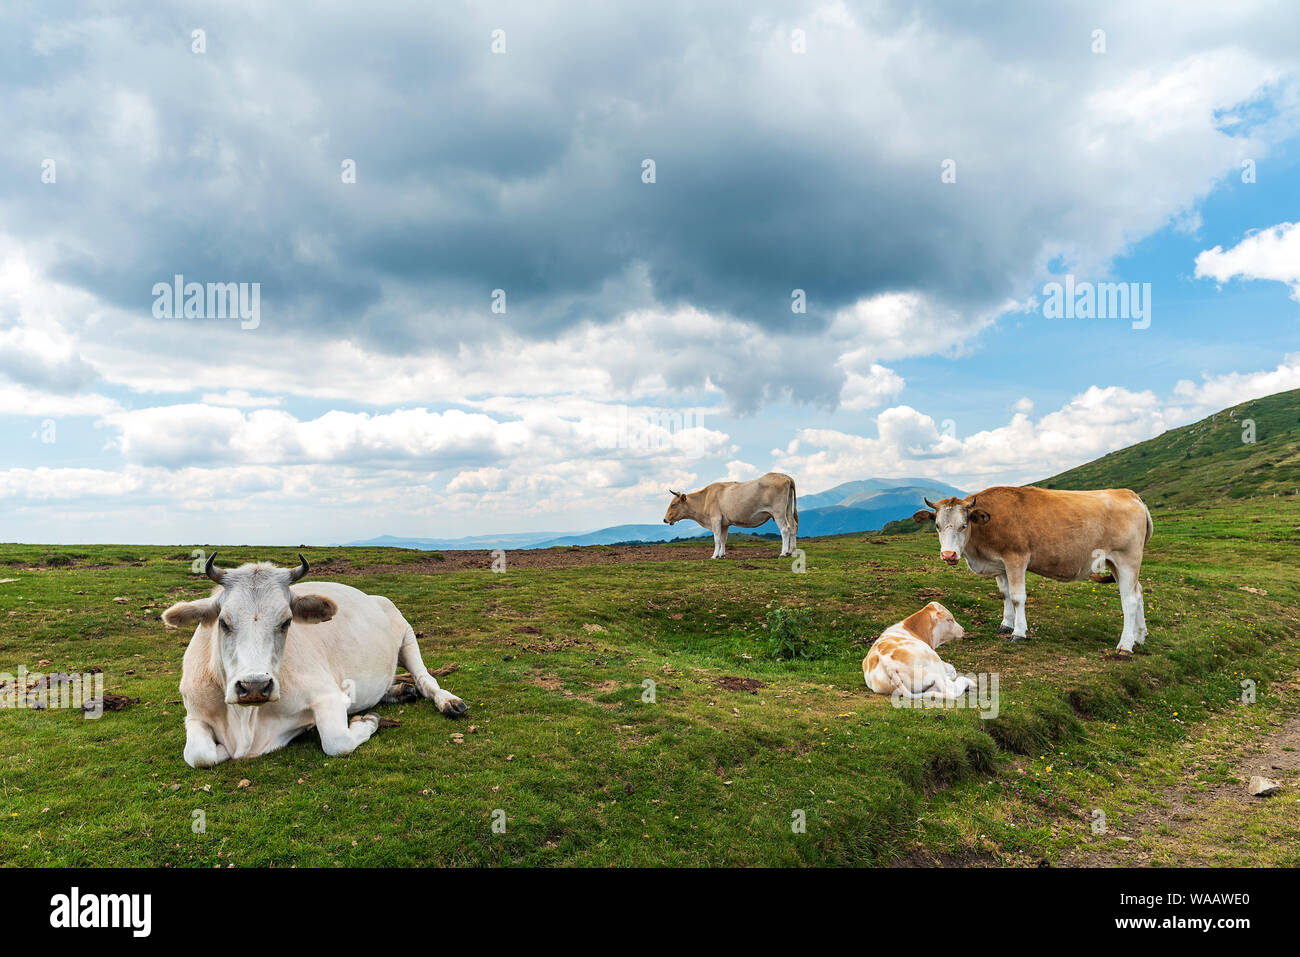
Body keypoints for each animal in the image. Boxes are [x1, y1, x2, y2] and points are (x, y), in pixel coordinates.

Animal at [161, 554, 467, 768]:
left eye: (286, 622)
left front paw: (367, 720)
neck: (247, 721)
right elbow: (198, 755)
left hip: (406, 634)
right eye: (223, 622)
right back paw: (400, 691)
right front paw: (221, 750)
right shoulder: (194, 713)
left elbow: (337, 742)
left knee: (425, 679)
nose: (254, 686)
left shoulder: (330, 696)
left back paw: (447, 701)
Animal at [663, 472, 798, 558]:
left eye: (674, 504)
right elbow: (723, 539)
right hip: (787, 510)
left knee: (785, 529)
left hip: (778, 513)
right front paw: (721, 555)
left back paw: (783, 553)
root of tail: (786, 476)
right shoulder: (724, 523)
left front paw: (714, 555)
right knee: (793, 527)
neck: (705, 498)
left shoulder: (715, 519)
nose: (665, 519)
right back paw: (792, 552)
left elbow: (717, 538)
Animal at [913, 486, 1153, 651]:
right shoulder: (1000, 565)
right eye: (937, 526)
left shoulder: (1016, 559)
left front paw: (1019, 632)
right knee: (1139, 591)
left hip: (1127, 558)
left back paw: (1125, 645)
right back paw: (1140, 636)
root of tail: (1128, 494)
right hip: (1115, 563)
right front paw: (1006, 624)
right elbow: (1005, 594)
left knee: (1130, 599)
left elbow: (1017, 597)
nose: (949, 555)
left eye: (964, 525)